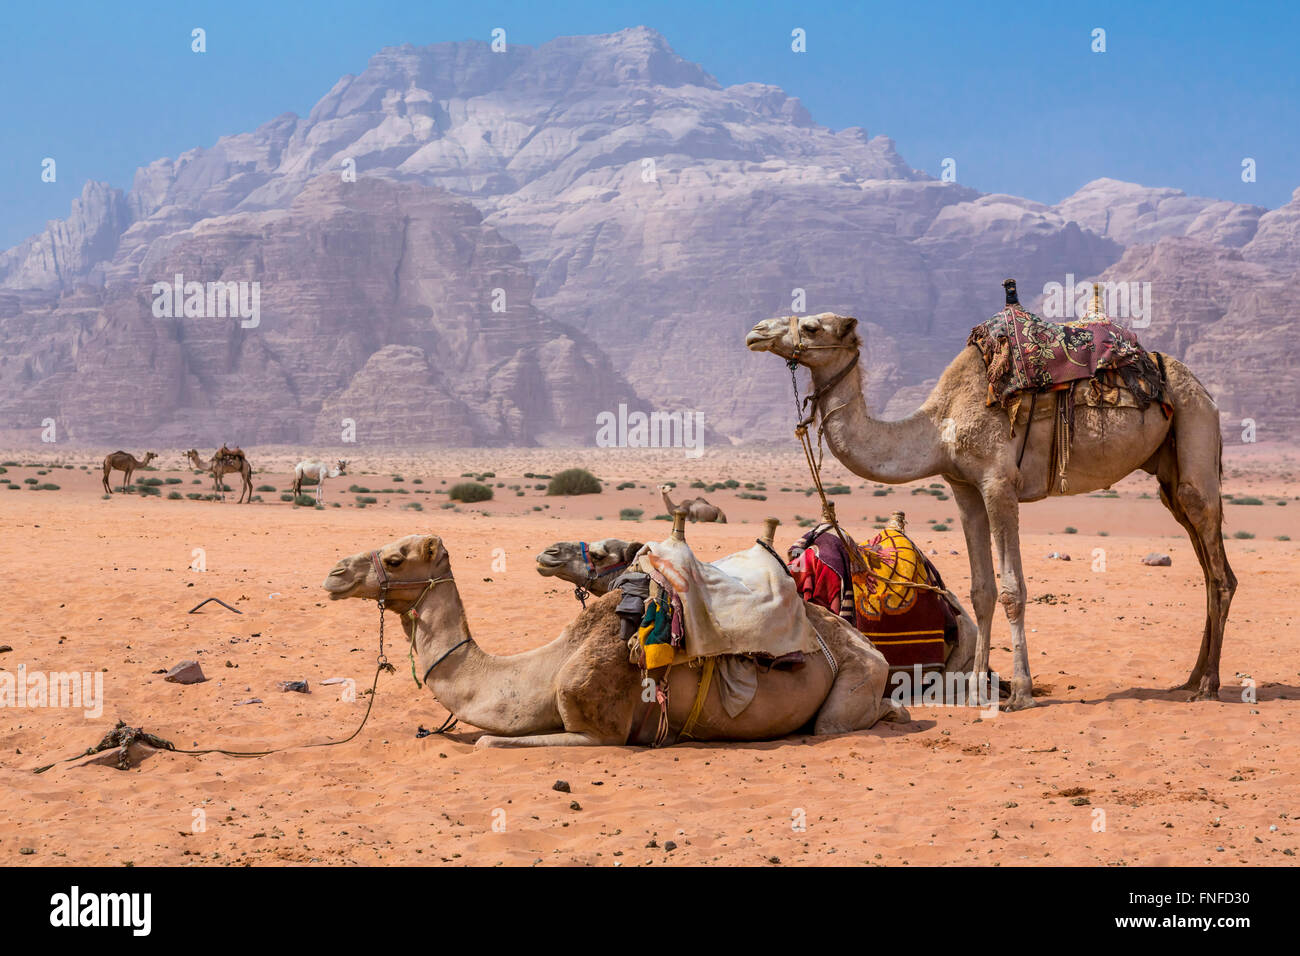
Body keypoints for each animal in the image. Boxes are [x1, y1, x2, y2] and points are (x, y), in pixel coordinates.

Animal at [324, 532, 907, 747]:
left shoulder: (597, 730)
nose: (334, 573)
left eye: (395, 559)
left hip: (858, 675)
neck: (541, 668)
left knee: (846, 719)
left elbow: (491, 741)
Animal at [747, 311, 1234, 709]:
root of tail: (1208, 394)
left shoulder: (1000, 483)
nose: (756, 332)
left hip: (1194, 429)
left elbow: (1012, 590)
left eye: (813, 327)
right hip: (1169, 473)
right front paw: (976, 688)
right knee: (1206, 564)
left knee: (1218, 569)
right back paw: (1190, 679)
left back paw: (1209, 685)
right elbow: (981, 590)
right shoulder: (964, 487)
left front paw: (1020, 693)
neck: (939, 428)